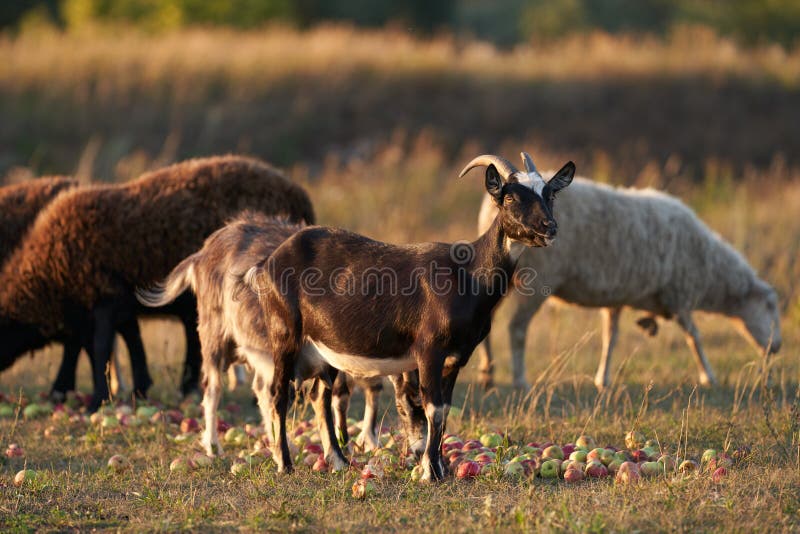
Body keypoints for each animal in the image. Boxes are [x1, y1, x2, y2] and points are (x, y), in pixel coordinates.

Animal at [0, 155, 315, 410]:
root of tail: (300, 196)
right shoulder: (115, 306)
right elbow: (126, 342)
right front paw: (135, 390)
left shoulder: (102, 300)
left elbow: (98, 348)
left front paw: (96, 399)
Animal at [247, 152, 575, 479]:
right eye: (509, 197)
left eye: (550, 194)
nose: (549, 227)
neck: (467, 274)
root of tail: (268, 262)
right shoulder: (429, 350)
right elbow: (434, 409)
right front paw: (430, 471)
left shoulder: (457, 356)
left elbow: (445, 408)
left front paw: (440, 467)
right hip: (285, 333)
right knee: (278, 393)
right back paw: (285, 464)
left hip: (323, 346)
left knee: (320, 395)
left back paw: (339, 461)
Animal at [474, 172, 782, 391]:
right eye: (771, 307)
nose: (777, 347)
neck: (710, 269)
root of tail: (493, 206)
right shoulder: (678, 294)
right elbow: (694, 336)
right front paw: (708, 376)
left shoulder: (617, 295)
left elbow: (611, 337)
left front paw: (603, 379)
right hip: (539, 279)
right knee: (517, 329)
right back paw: (519, 380)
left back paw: (487, 373)